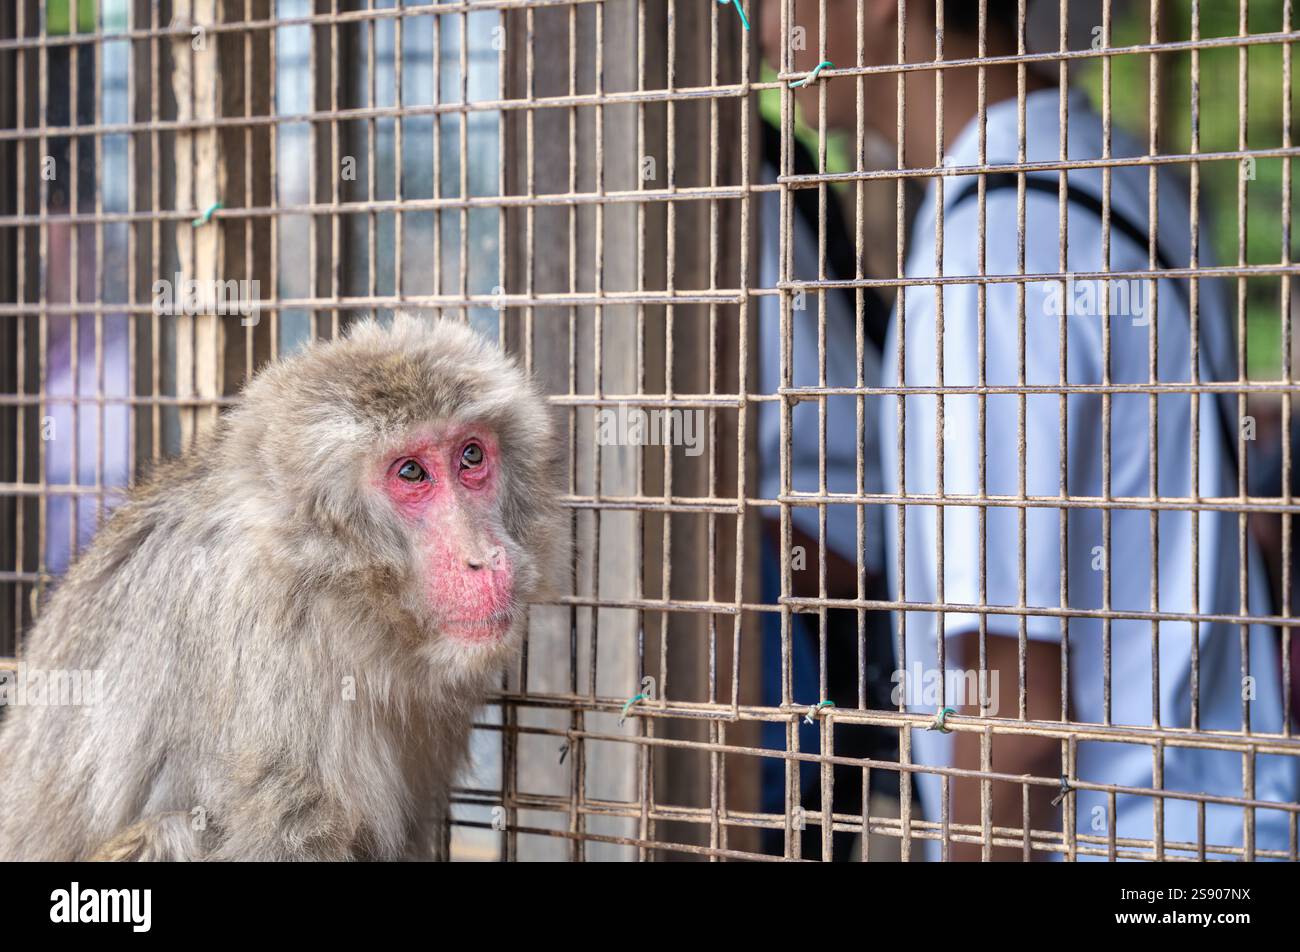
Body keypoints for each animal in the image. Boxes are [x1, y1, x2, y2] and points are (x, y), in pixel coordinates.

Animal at [0, 314, 565, 861]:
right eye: (410, 471)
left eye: (471, 456)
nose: (482, 557)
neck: (322, 581)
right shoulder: (272, 658)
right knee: (172, 834)